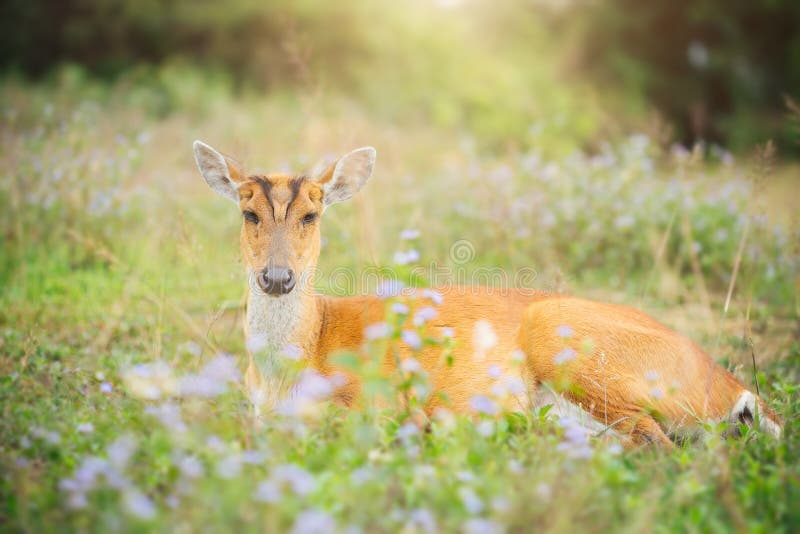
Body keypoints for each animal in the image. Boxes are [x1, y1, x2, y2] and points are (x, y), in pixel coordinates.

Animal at [192, 140, 782, 448]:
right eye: (248, 213)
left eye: (312, 215)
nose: (277, 278)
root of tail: (731, 388)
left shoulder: (376, 403)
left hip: (571, 345)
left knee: (651, 438)